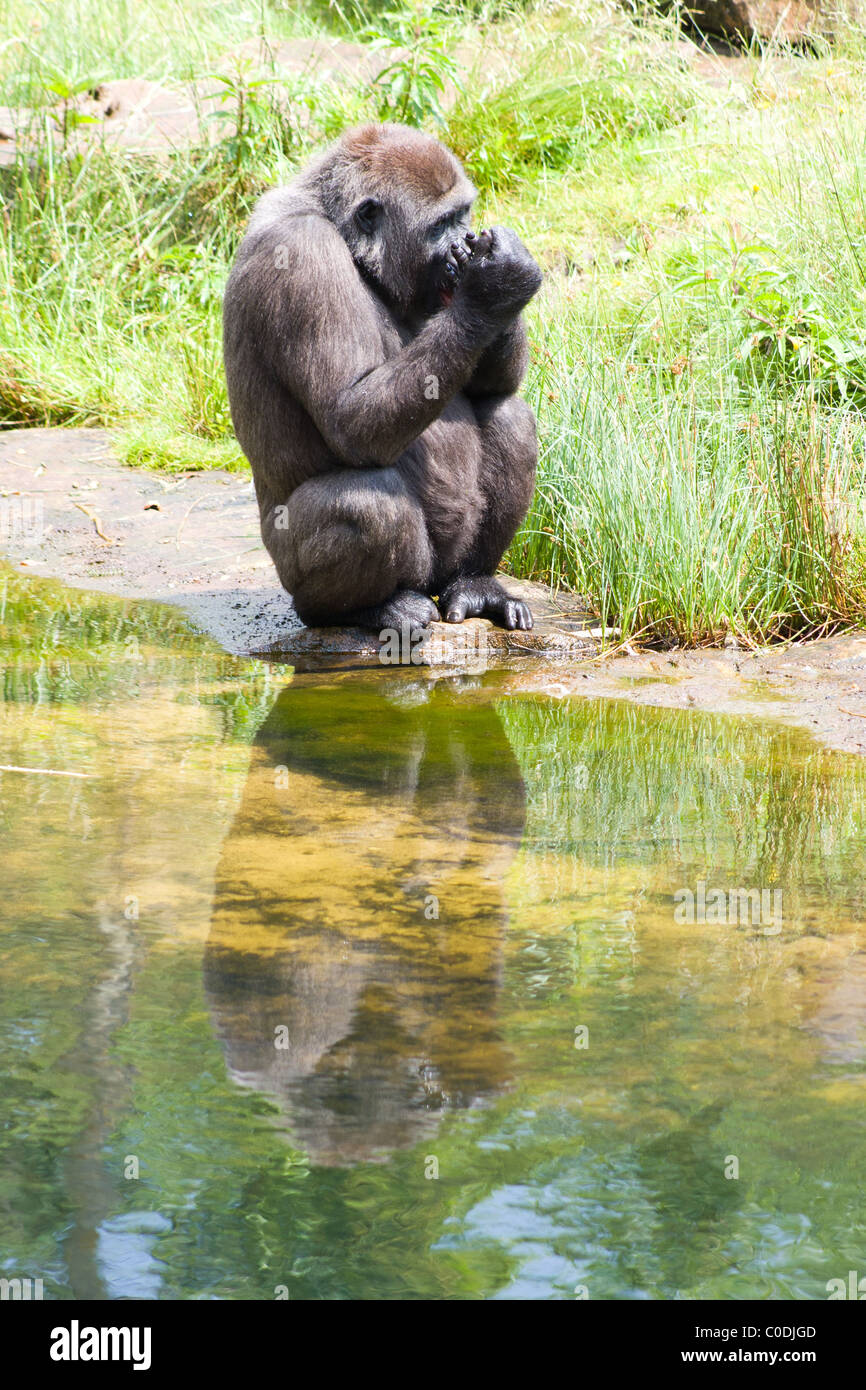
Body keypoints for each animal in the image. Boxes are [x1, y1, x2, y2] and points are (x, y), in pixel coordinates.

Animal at [223, 122, 543, 634]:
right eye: (440, 225)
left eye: (463, 215)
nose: (463, 242)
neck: (348, 240)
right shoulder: (302, 253)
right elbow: (350, 418)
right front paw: (495, 284)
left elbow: (496, 383)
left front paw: (497, 271)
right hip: (293, 572)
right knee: (367, 506)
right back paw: (363, 609)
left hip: (443, 571)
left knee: (509, 416)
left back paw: (474, 582)